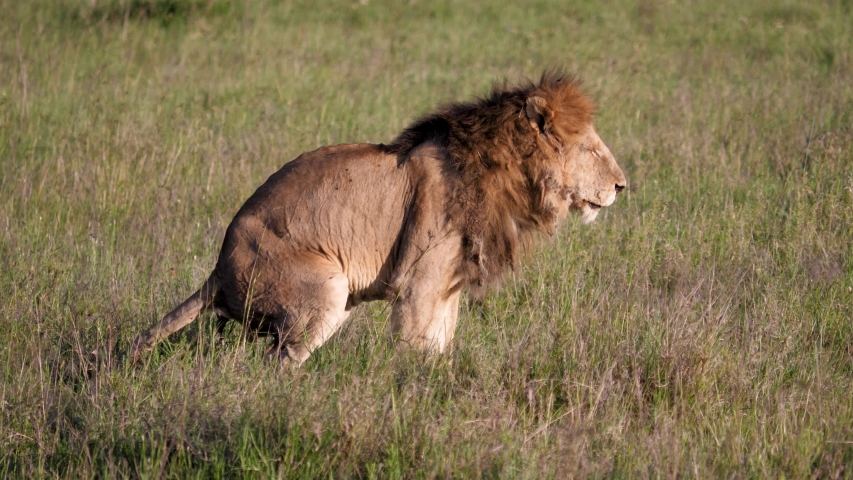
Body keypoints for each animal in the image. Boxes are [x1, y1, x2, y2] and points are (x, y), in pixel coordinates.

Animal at [130, 71, 627, 366]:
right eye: (589, 149)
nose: (623, 186)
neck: (507, 172)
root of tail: (218, 268)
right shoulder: (420, 281)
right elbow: (412, 346)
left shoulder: (448, 283)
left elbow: (441, 342)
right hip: (324, 289)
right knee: (277, 363)